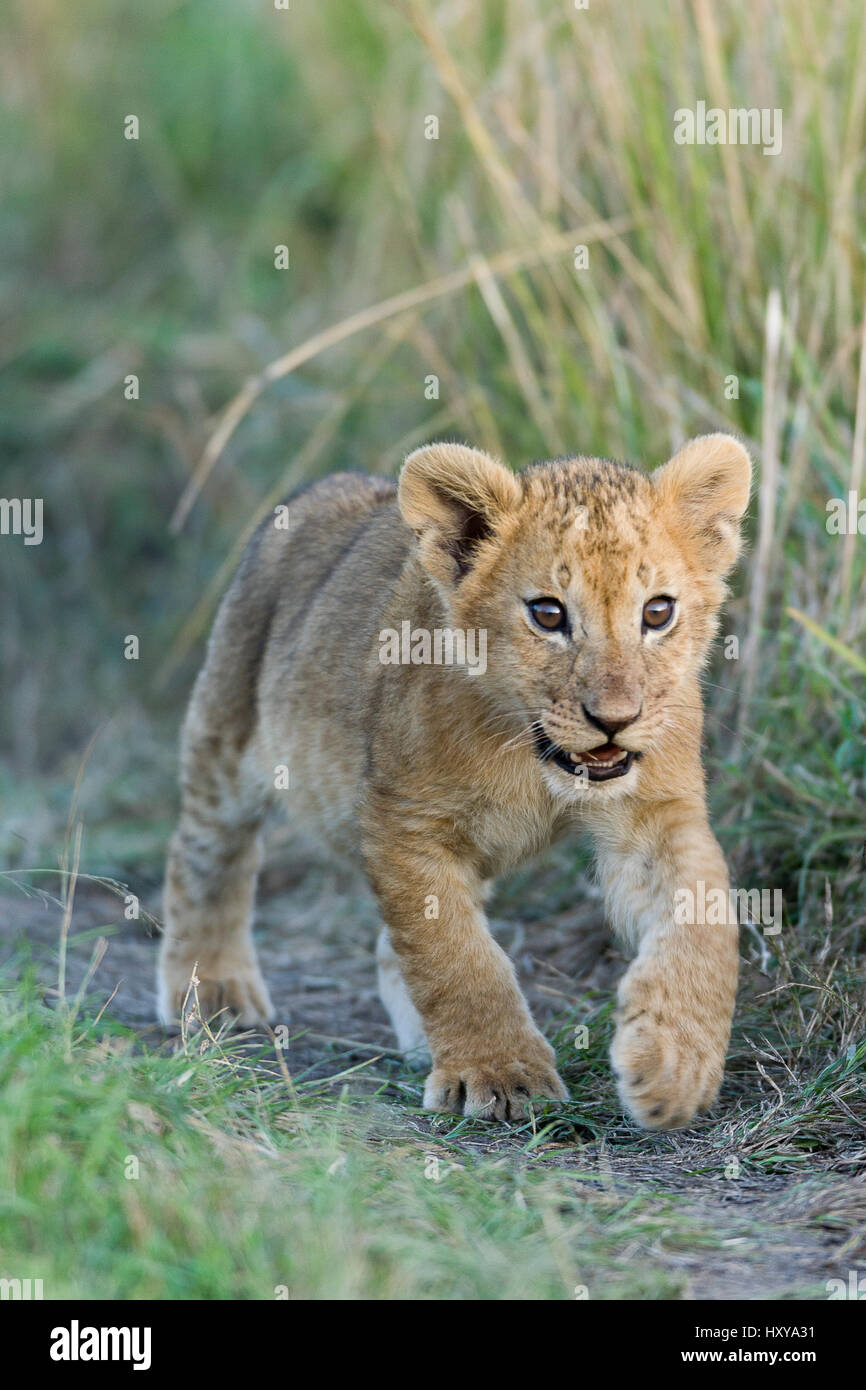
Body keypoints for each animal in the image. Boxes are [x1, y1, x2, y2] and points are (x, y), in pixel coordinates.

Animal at [158, 433, 751, 1130]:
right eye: (547, 613)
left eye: (658, 612)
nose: (614, 720)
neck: (532, 755)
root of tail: (324, 486)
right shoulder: (407, 824)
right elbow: (455, 956)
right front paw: (498, 1075)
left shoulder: (656, 814)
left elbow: (704, 920)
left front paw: (675, 1066)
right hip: (226, 731)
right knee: (206, 853)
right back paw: (211, 989)